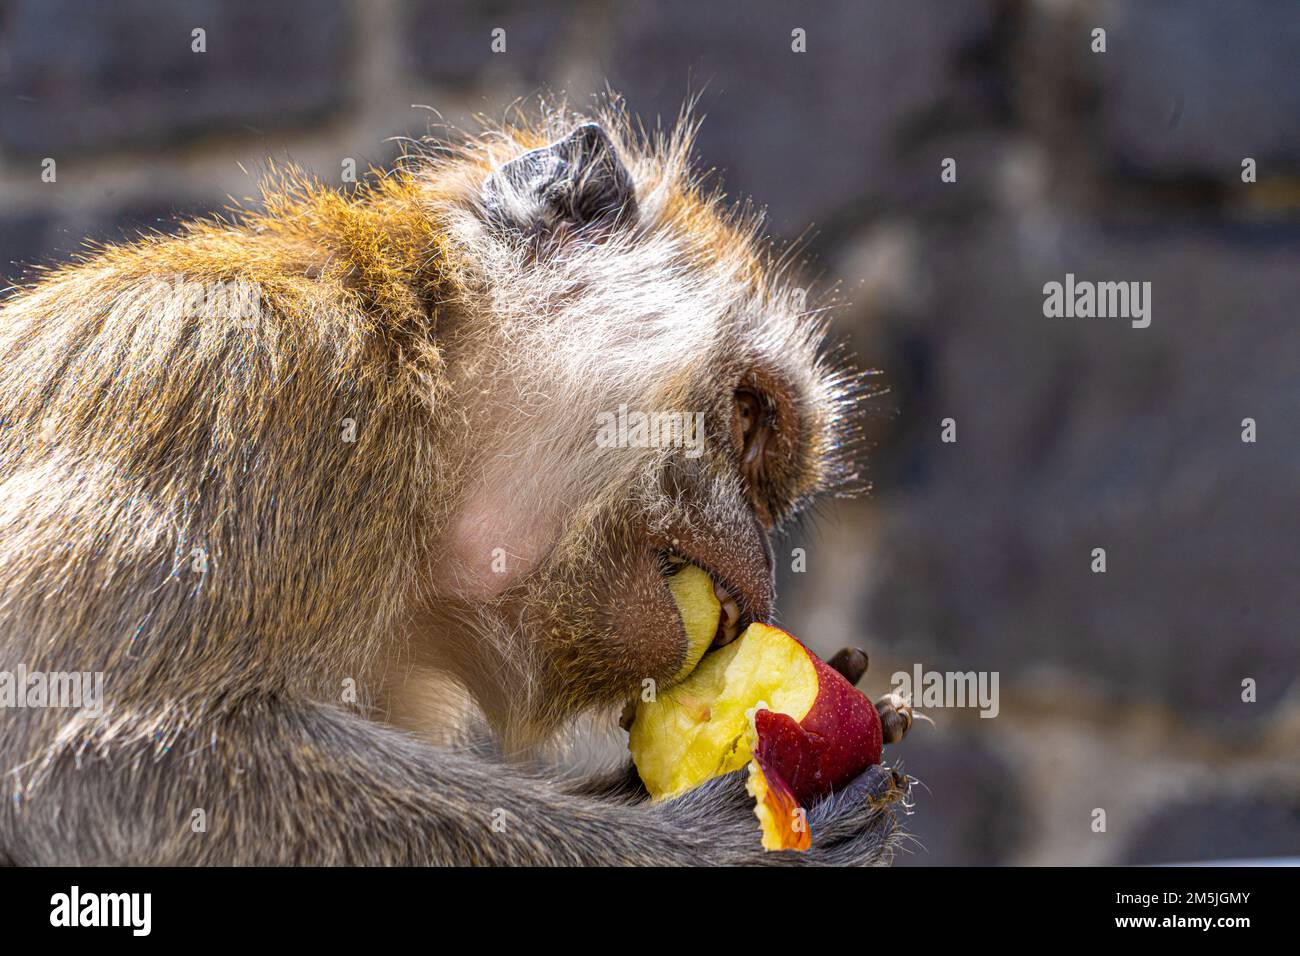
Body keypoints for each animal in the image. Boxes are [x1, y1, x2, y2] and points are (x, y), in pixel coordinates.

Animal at [0, 100, 908, 865]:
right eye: (750, 415)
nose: (763, 560)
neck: (417, 381)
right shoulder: (241, 378)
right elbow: (90, 759)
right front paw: (705, 848)